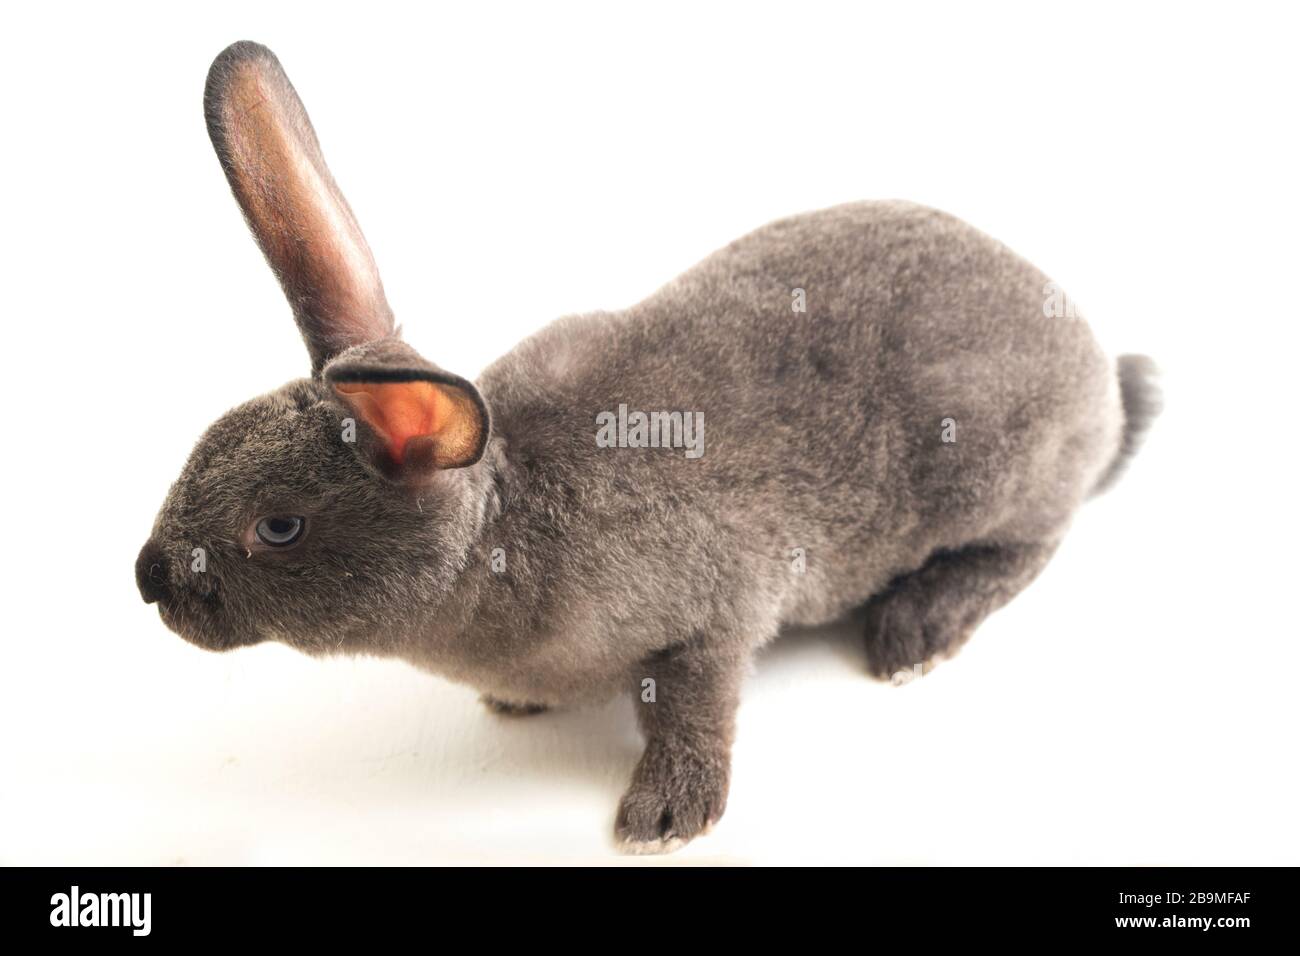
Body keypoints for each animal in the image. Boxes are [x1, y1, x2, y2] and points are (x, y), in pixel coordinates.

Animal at [136, 40, 1161, 854]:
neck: (503, 525)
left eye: (277, 527)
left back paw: (919, 626)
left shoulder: (715, 614)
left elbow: (695, 711)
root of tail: (1100, 378)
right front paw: (523, 705)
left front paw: (667, 819)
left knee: (1036, 537)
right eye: (197, 450)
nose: (149, 580)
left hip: (993, 471)